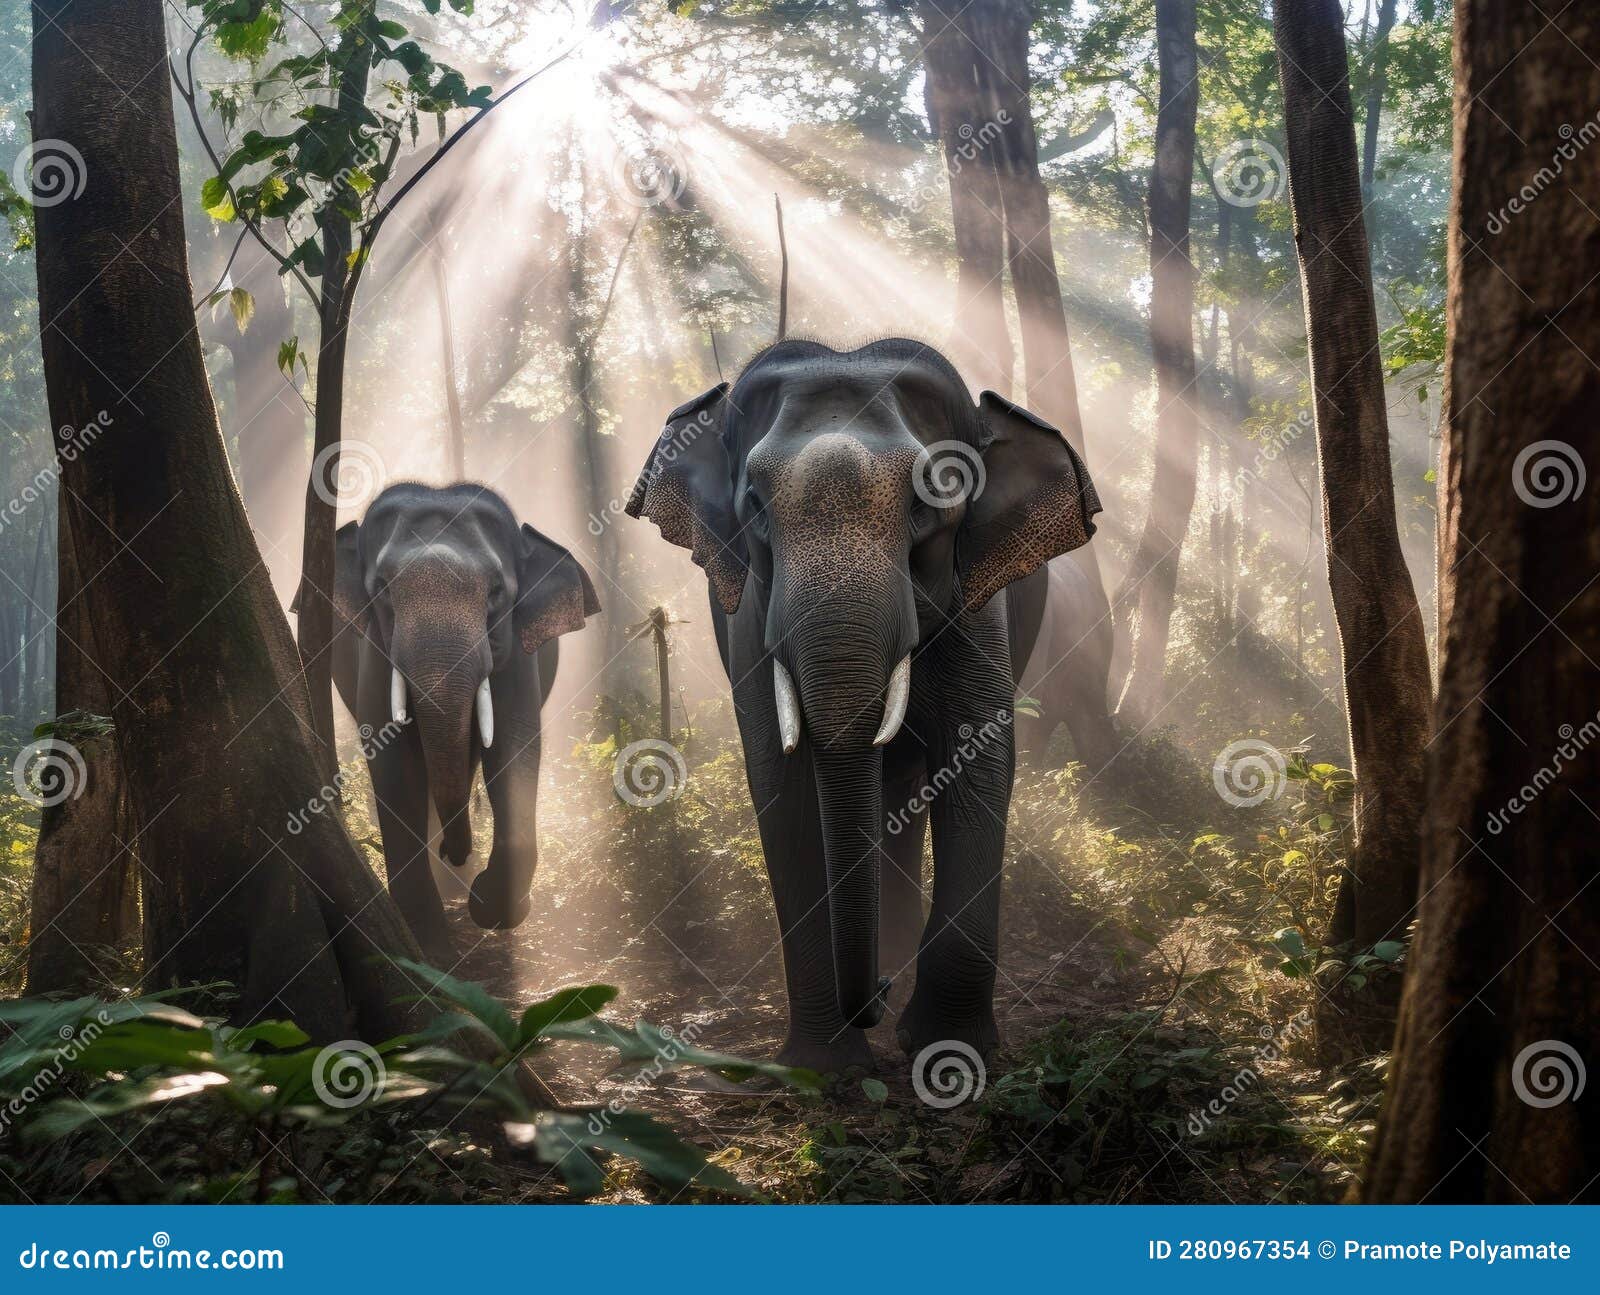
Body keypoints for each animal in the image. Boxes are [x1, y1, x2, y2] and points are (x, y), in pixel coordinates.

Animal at [322, 482, 600, 963]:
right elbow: (394, 763)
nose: (457, 854)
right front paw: (429, 953)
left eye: (495, 592)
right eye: (384, 590)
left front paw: (488, 906)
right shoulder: (375, 650)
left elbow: (514, 748)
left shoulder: (517, 653)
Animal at [626, 338, 1100, 1073]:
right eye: (755, 504)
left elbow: (979, 765)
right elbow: (780, 781)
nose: (873, 998)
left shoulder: (979, 606)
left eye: (933, 501)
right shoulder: (753, 621)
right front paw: (823, 1067)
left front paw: (948, 1050)